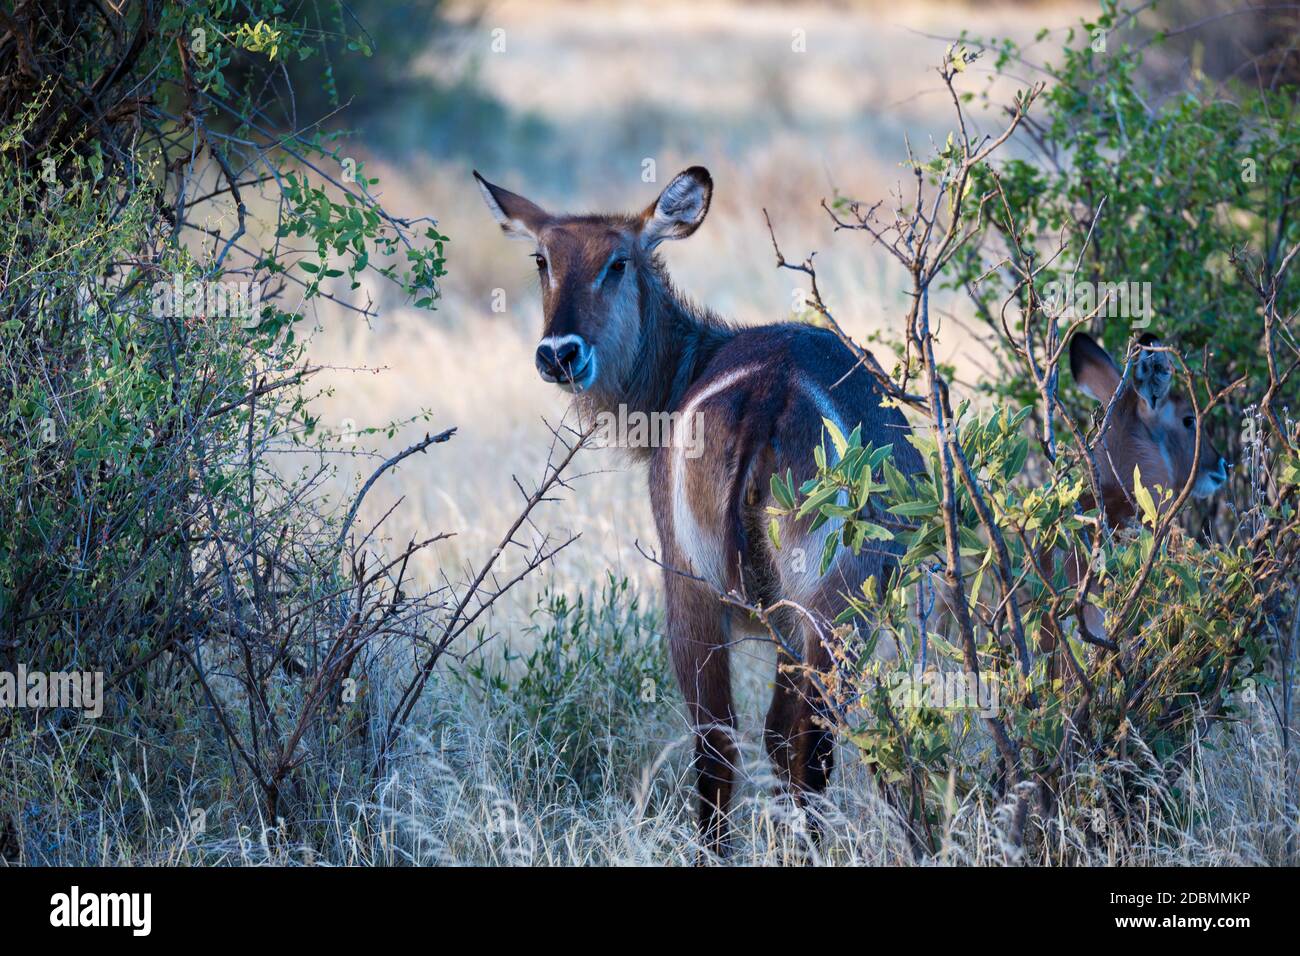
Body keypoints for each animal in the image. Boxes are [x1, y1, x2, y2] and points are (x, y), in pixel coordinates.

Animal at [475, 167, 924, 850]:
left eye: (617, 262)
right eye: (542, 259)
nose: (559, 353)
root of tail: (767, 392)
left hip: (699, 592)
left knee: (725, 745)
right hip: (816, 610)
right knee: (797, 744)